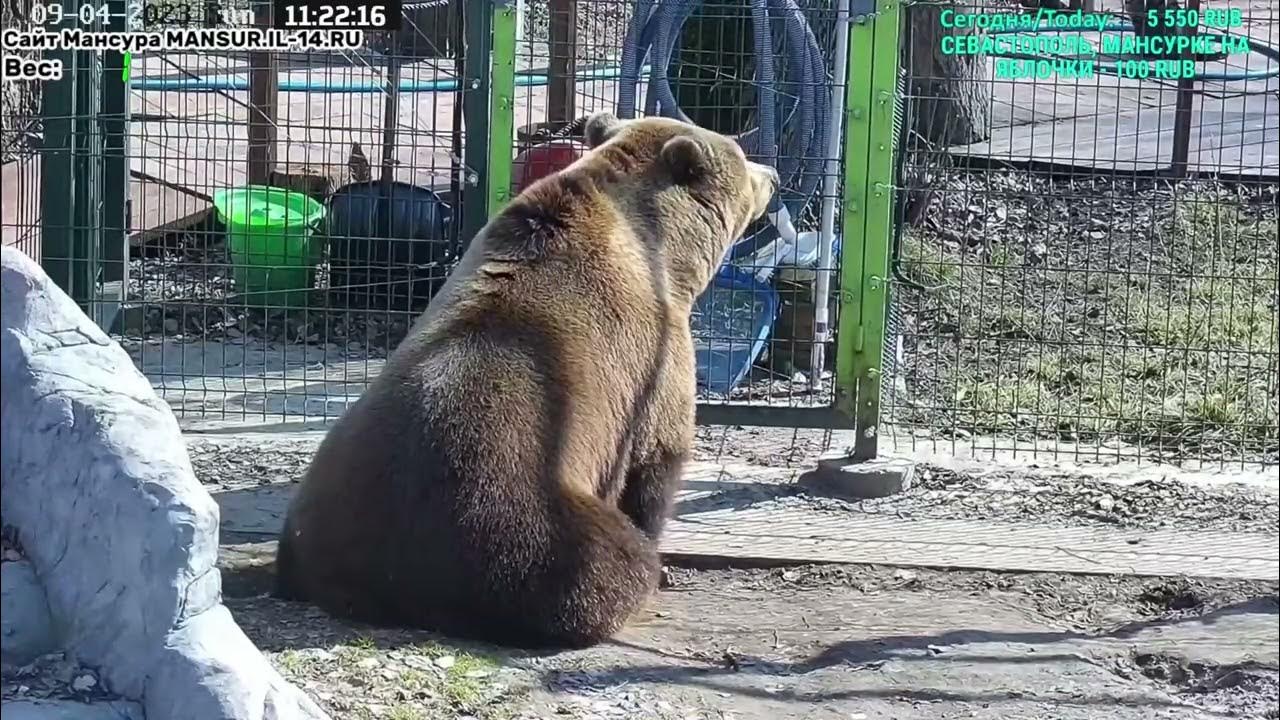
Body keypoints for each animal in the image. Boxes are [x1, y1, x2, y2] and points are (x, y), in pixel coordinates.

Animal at [274, 111, 779, 648]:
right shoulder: (658, 352)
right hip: (527, 517)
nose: (773, 175)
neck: (662, 246)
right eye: (743, 158)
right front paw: (662, 554)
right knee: (602, 566)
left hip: (329, 497)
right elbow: (656, 458)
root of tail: (396, 584)